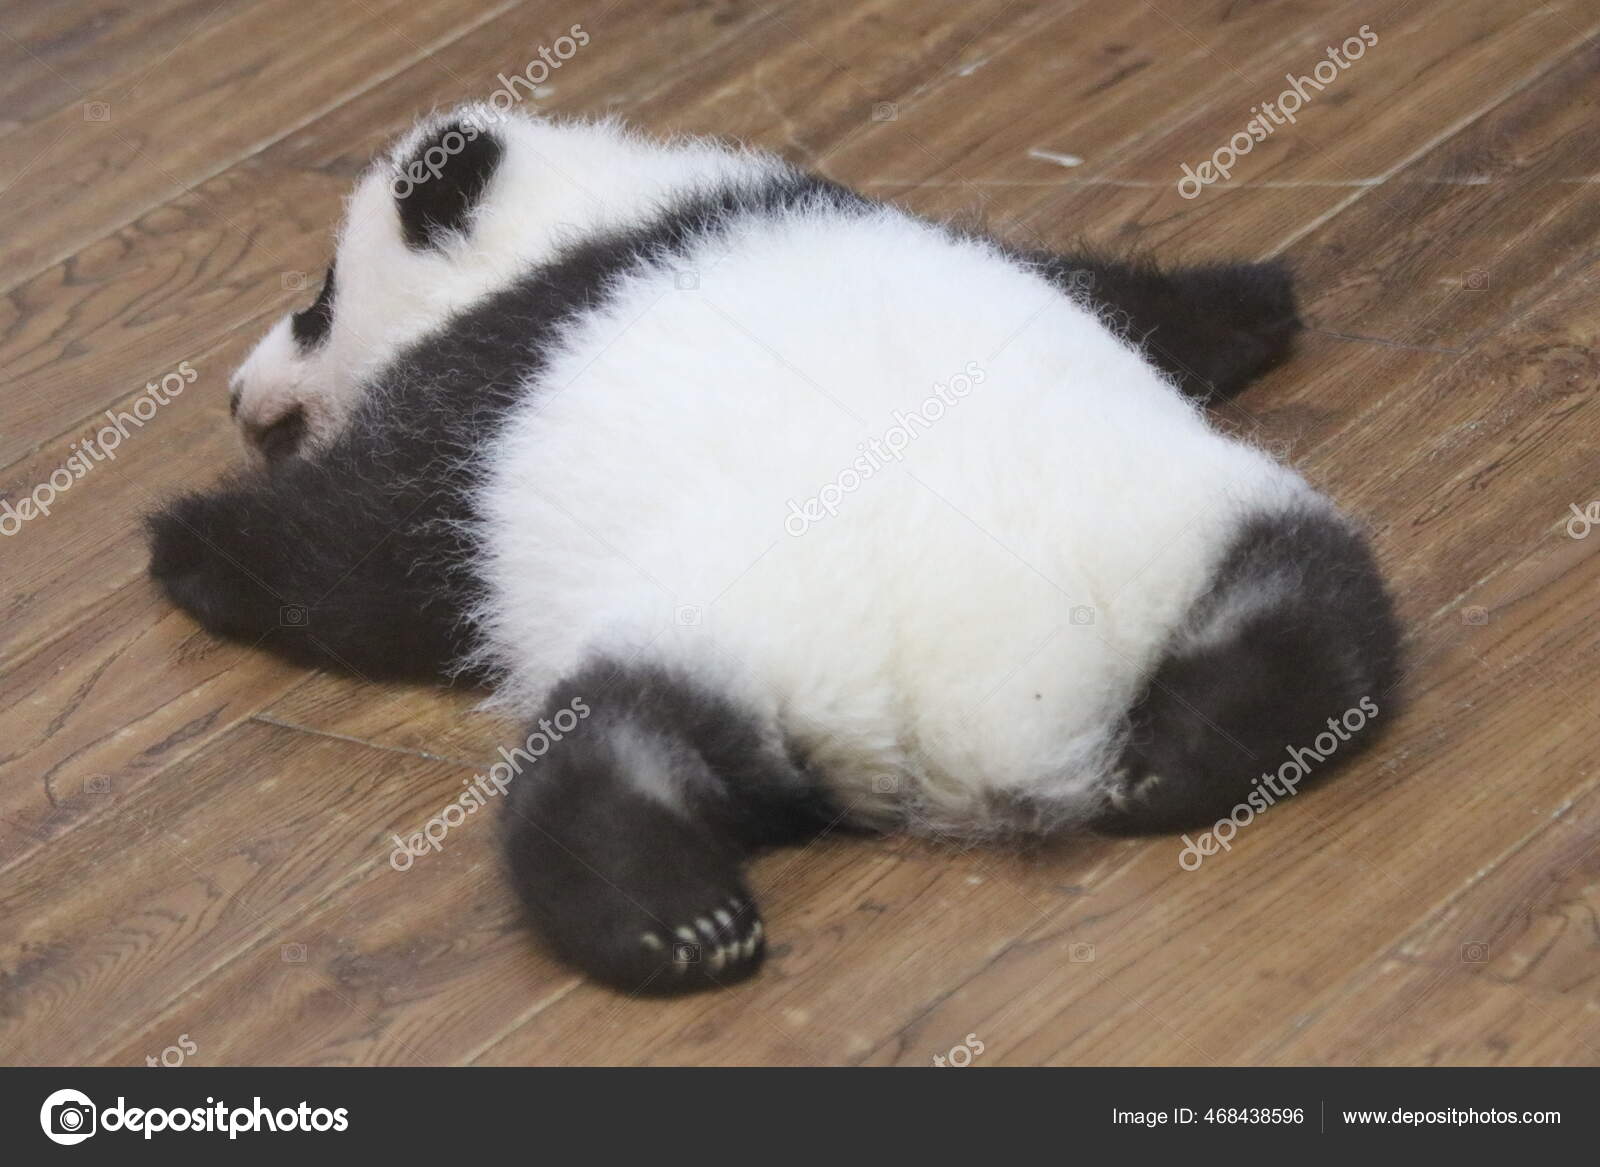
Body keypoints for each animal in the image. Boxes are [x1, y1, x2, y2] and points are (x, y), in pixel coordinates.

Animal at [150, 104, 1400, 995]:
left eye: (318, 299)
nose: (239, 397)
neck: (594, 213)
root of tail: (995, 712)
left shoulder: (493, 383)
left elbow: (370, 554)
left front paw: (194, 541)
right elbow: (1115, 295)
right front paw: (1251, 301)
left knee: (596, 753)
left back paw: (663, 919)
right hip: (1171, 537)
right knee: (1317, 611)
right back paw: (1190, 756)